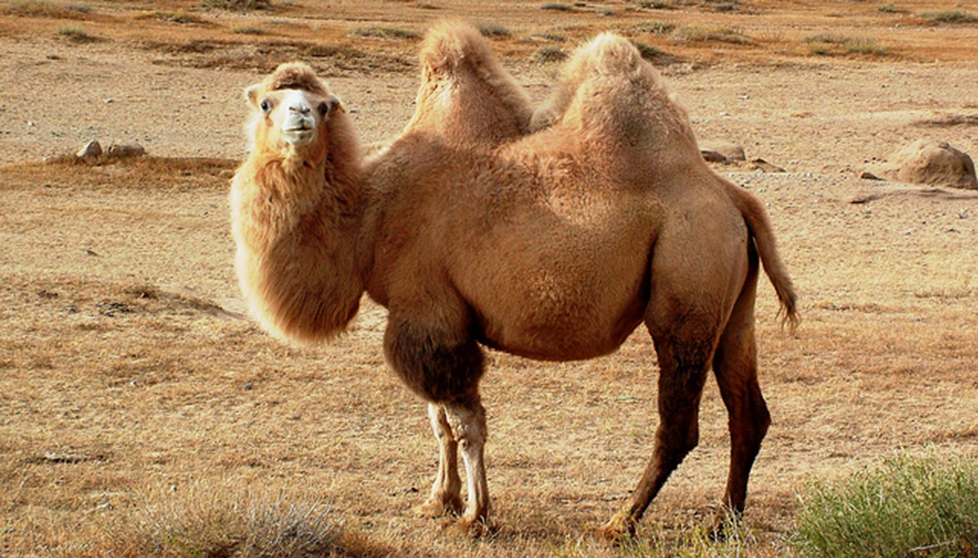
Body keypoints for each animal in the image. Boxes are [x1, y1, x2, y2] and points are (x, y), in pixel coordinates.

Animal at [229, 21, 798, 540]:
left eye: (324, 105)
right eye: (267, 103)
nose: (300, 117)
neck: (370, 216)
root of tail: (732, 197)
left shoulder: (429, 311)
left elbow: (465, 424)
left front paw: (475, 515)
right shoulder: (424, 317)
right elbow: (438, 421)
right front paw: (439, 500)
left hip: (687, 288)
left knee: (679, 425)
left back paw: (620, 522)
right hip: (732, 307)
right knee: (748, 412)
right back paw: (724, 522)